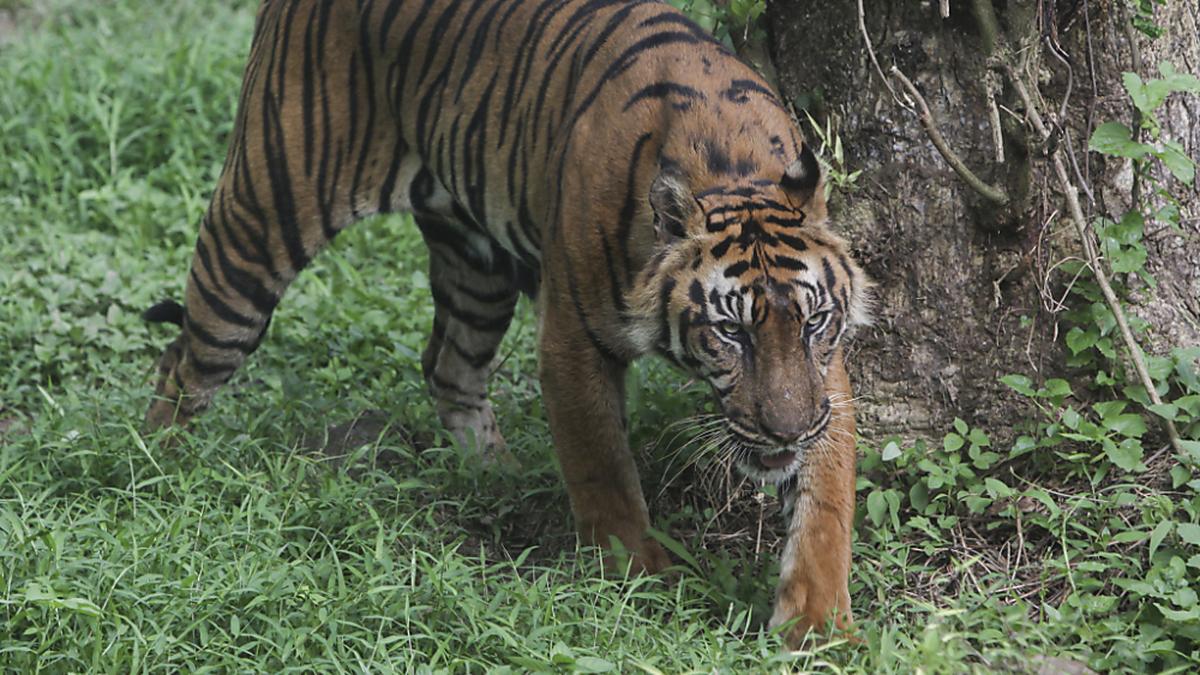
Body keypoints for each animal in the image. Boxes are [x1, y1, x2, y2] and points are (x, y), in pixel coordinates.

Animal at [142, 0, 872, 644]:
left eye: (813, 323)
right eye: (731, 332)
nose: (787, 430)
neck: (731, 161)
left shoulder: (826, 377)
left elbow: (826, 503)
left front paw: (820, 629)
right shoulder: (573, 338)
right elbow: (603, 471)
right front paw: (640, 577)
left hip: (475, 266)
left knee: (448, 367)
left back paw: (497, 473)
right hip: (261, 221)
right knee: (183, 359)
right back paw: (159, 473)